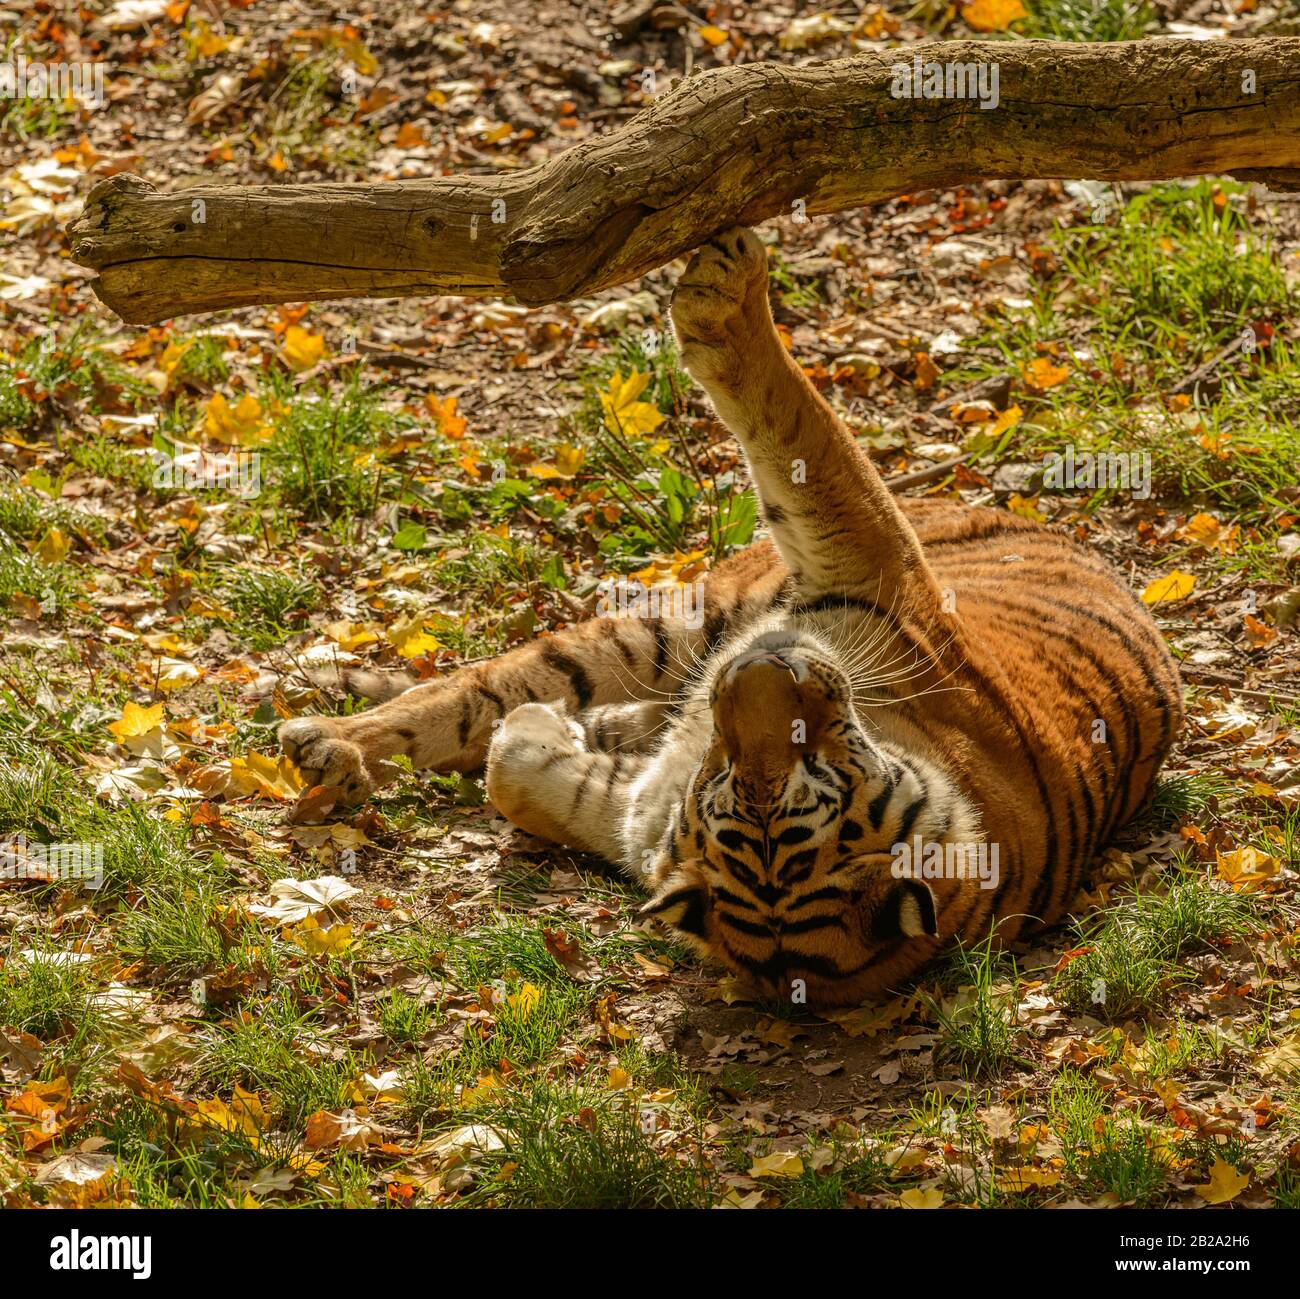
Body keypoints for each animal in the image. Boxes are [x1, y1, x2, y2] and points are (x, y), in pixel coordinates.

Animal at [279, 227, 1182, 1008]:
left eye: (809, 764)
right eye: (728, 783)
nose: (756, 666)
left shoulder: (874, 570)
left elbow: (801, 430)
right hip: (673, 625)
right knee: (474, 687)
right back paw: (332, 739)